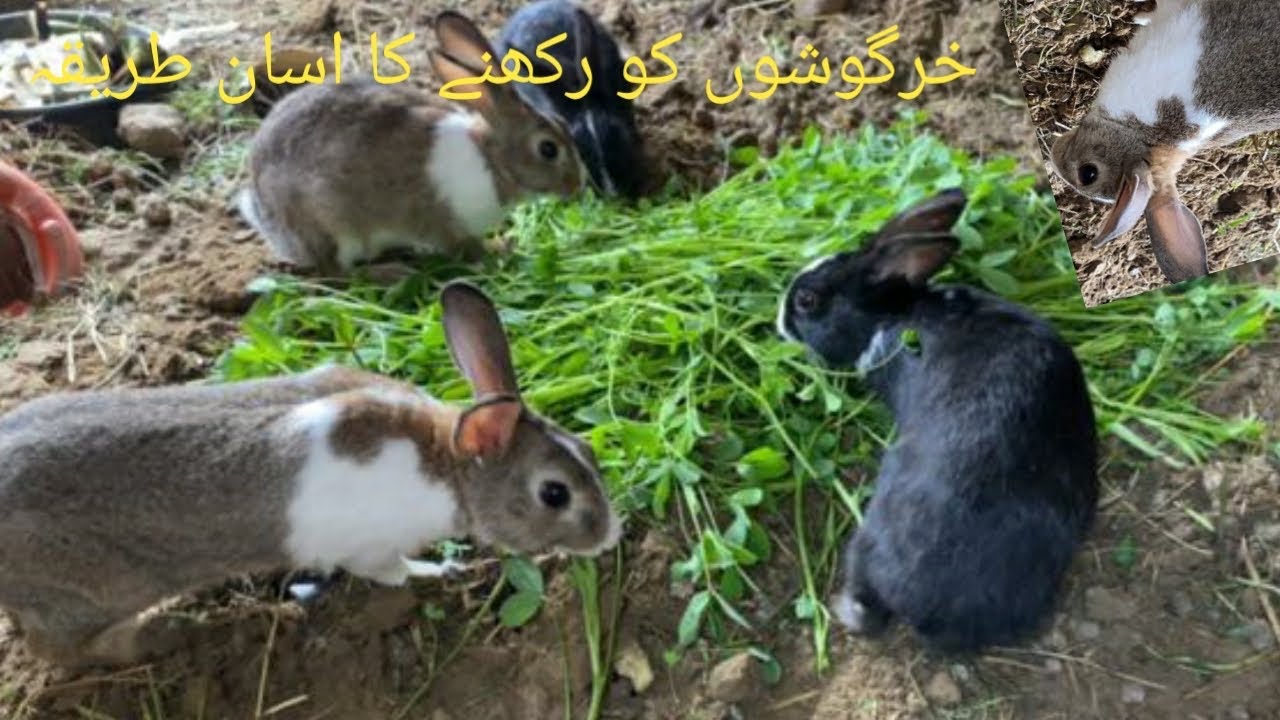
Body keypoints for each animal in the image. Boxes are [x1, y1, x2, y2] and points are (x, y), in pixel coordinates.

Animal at [0, 280, 622, 669]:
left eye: (588, 452)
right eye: (554, 493)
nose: (610, 535)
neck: (447, 466)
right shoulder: (370, 547)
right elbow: (395, 572)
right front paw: (439, 570)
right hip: (87, 593)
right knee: (59, 650)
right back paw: (163, 633)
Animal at [236, 10, 588, 276]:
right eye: (548, 149)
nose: (576, 186)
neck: (491, 160)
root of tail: (267, 217)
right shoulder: (445, 223)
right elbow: (466, 248)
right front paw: (498, 250)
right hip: (333, 226)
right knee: (337, 273)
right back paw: (390, 273)